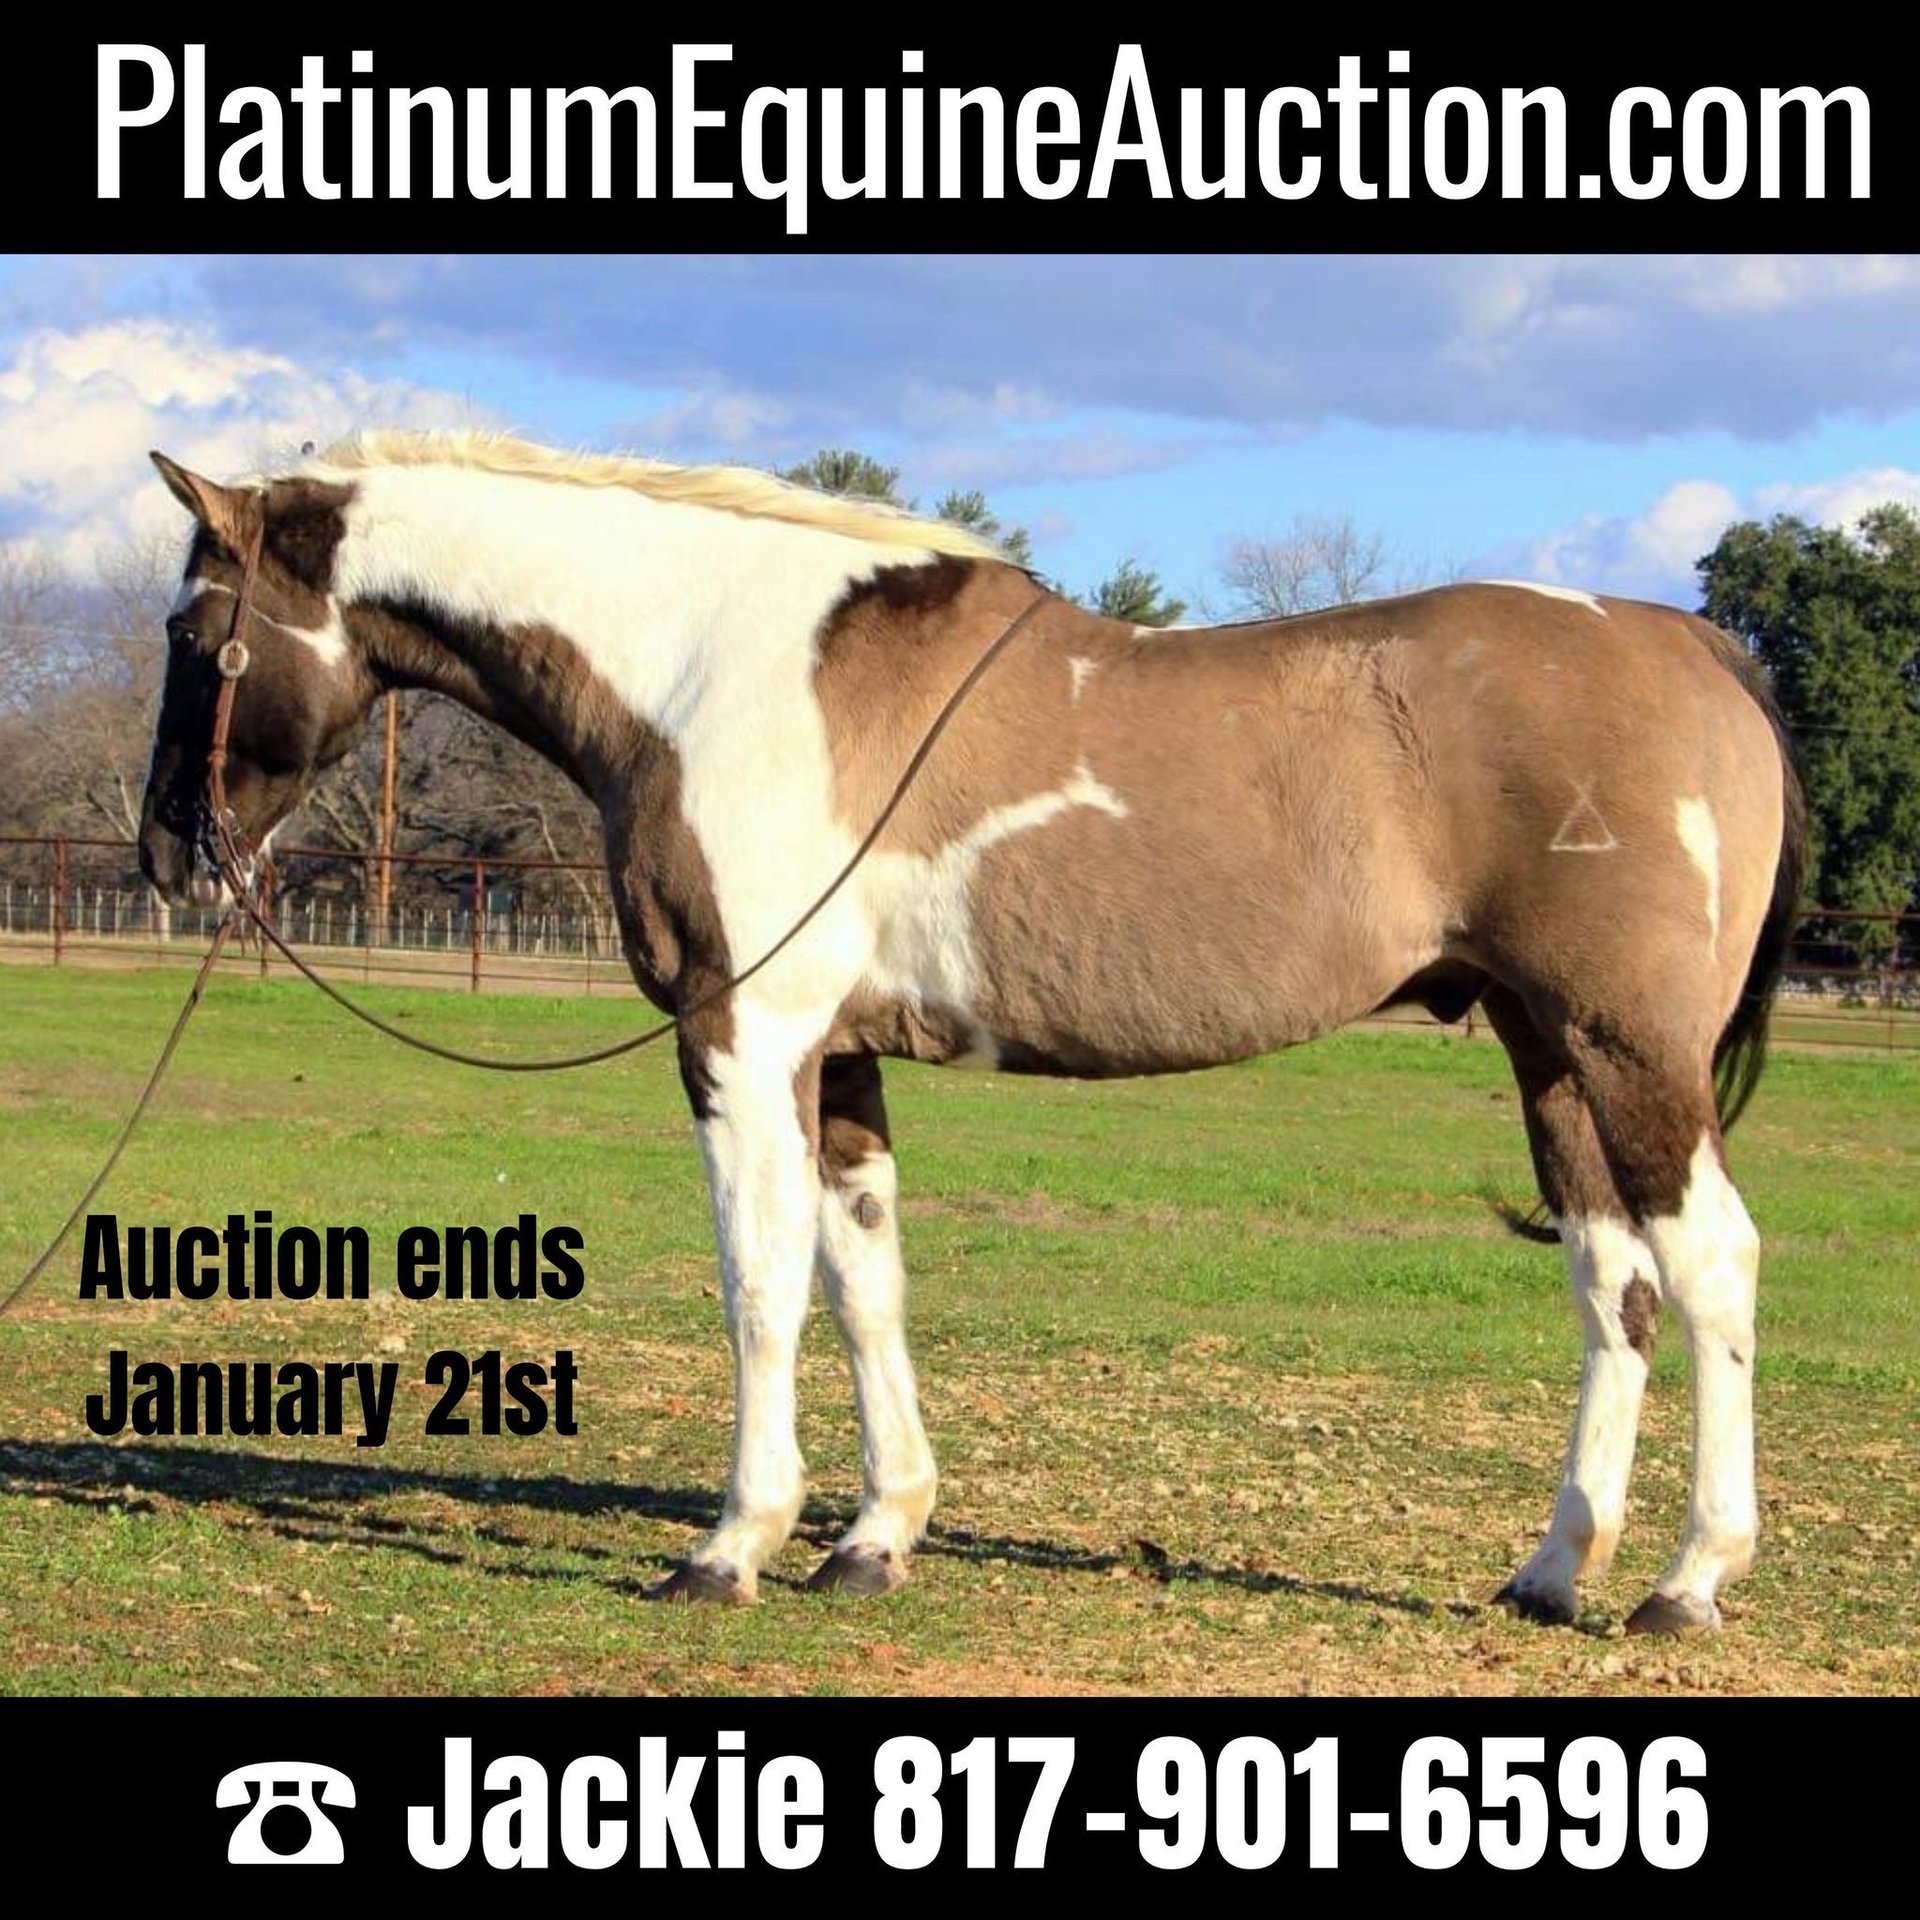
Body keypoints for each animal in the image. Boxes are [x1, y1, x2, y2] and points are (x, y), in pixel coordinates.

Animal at [139, 432, 1805, 1635]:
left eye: (193, 629)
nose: (165, 850)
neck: (703, 665)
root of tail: (1696, 648)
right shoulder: (839, 1057)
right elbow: (862, 1281)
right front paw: (873, 1537)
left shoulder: (743, 1037)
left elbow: (761, 1287)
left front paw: (730, 1547)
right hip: (1549, 1056)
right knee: (1613, 1285)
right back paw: (1552, 1573)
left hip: (1630, 1055)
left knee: (1713, 1264)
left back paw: (1688, 1581)